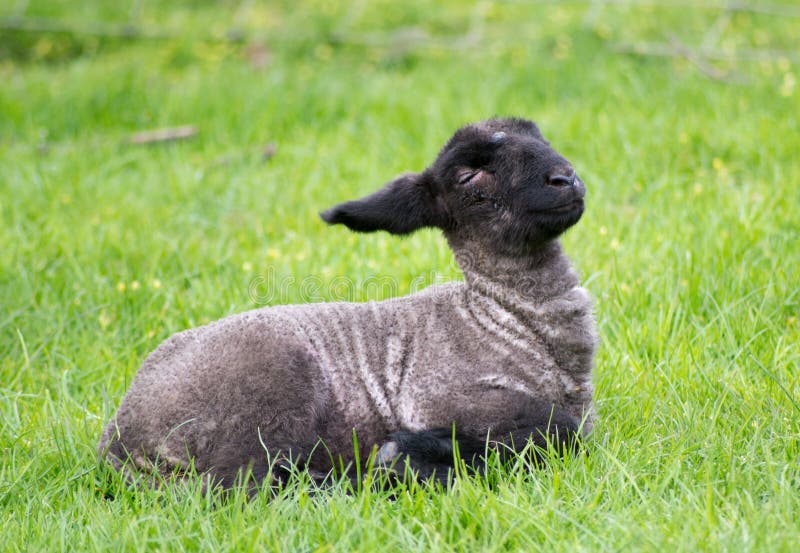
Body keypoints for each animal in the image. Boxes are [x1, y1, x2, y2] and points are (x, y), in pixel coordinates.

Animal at [98, 117, 597, 490]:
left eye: (540, 138)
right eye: (469, 175)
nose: (567, 179)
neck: (507, 319)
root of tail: (118, 437)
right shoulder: (440, 396)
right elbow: (561, 431)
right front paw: (411, 454)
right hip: (268, 399)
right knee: (240, 488)